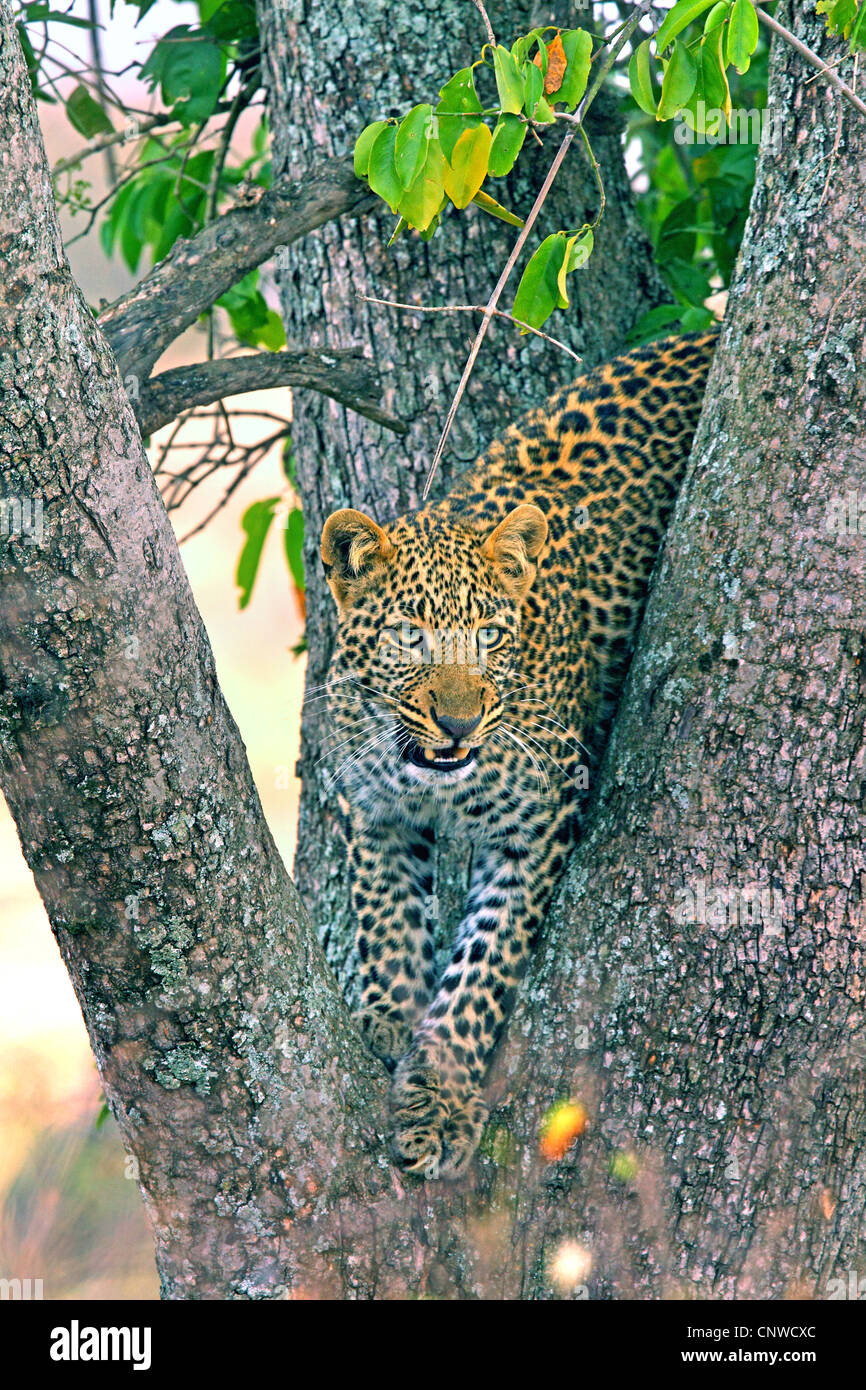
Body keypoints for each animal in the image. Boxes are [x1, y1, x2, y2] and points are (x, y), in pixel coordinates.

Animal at [319, 329, 718, 1179]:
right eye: (409, 638)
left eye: (492, 636)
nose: (460, 725)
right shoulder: (372, 805)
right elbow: (384, 913)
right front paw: (391, 1016)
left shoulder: (541, 816)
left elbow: (484, 965)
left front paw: (438, 1100)